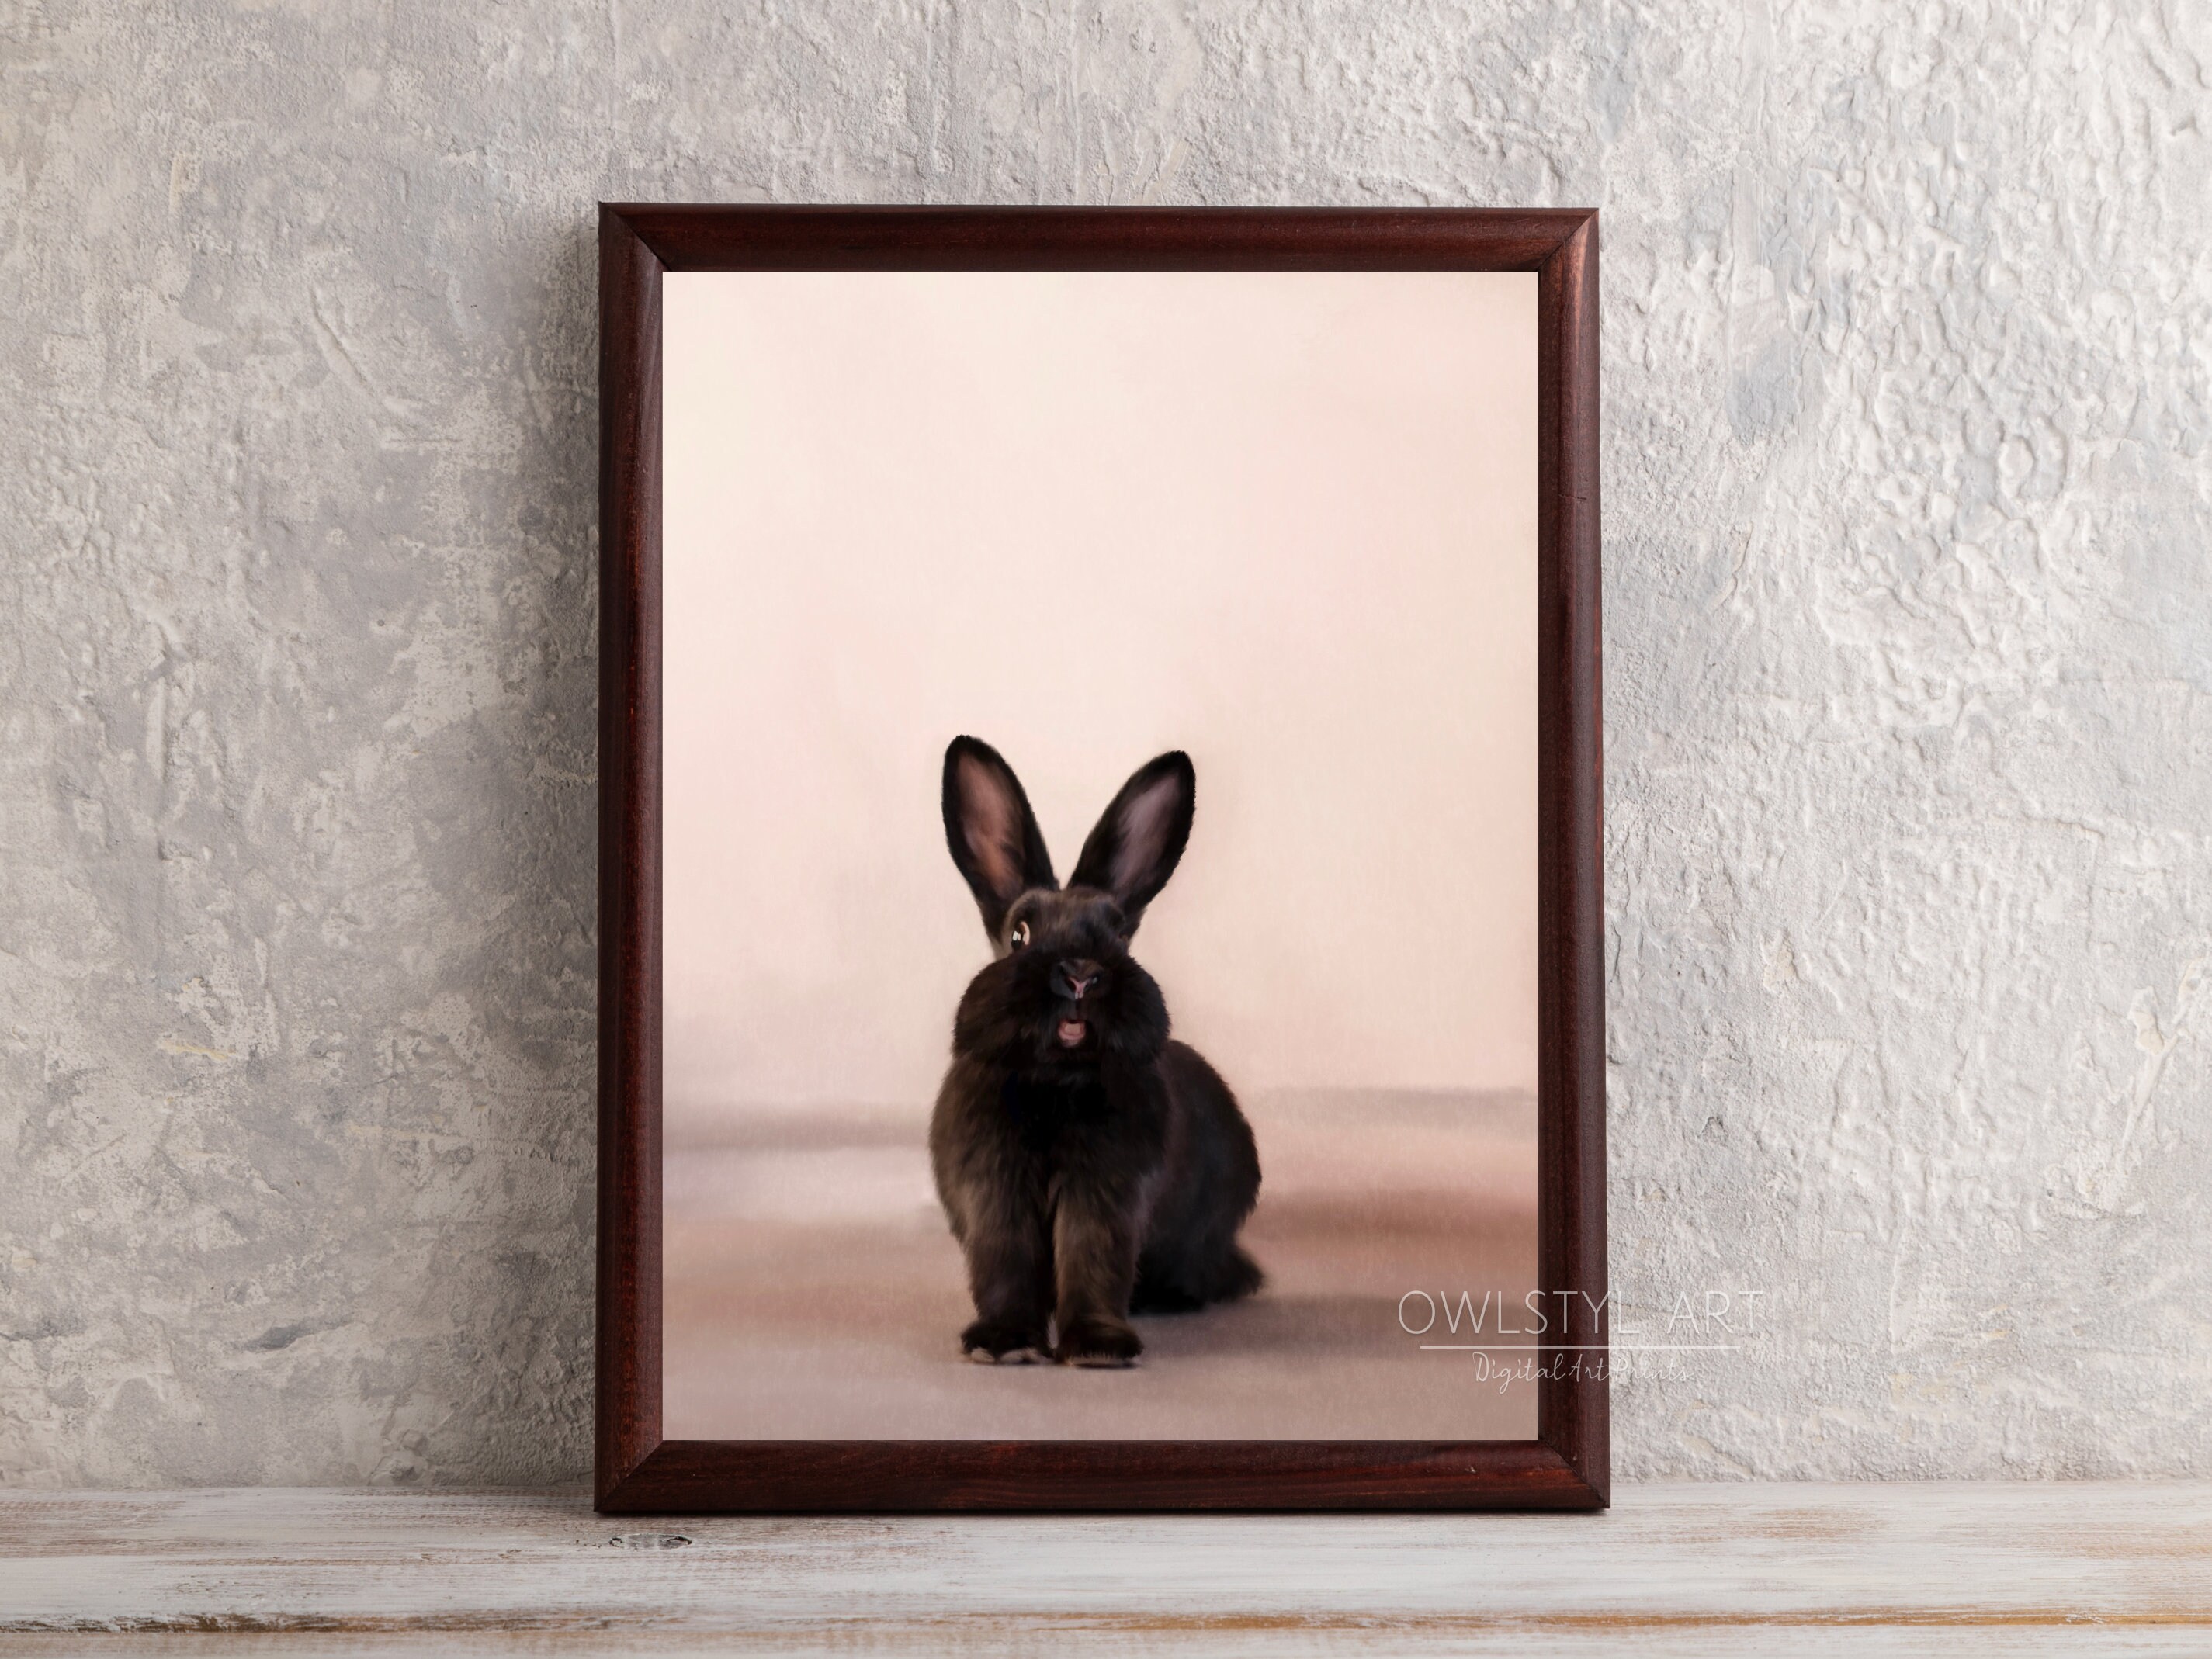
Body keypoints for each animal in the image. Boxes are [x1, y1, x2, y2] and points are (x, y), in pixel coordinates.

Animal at [929, 736, 1263, 1368]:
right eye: (1019, 935)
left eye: (1118, 936)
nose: (1080, 974)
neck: (1055, 1084)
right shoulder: (993, 1188)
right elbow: (1004, 1259)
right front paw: (1005, 1341)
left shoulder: (1107, 1189)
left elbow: (1092, 1257)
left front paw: (1097, 1347)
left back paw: (1169, 1298)